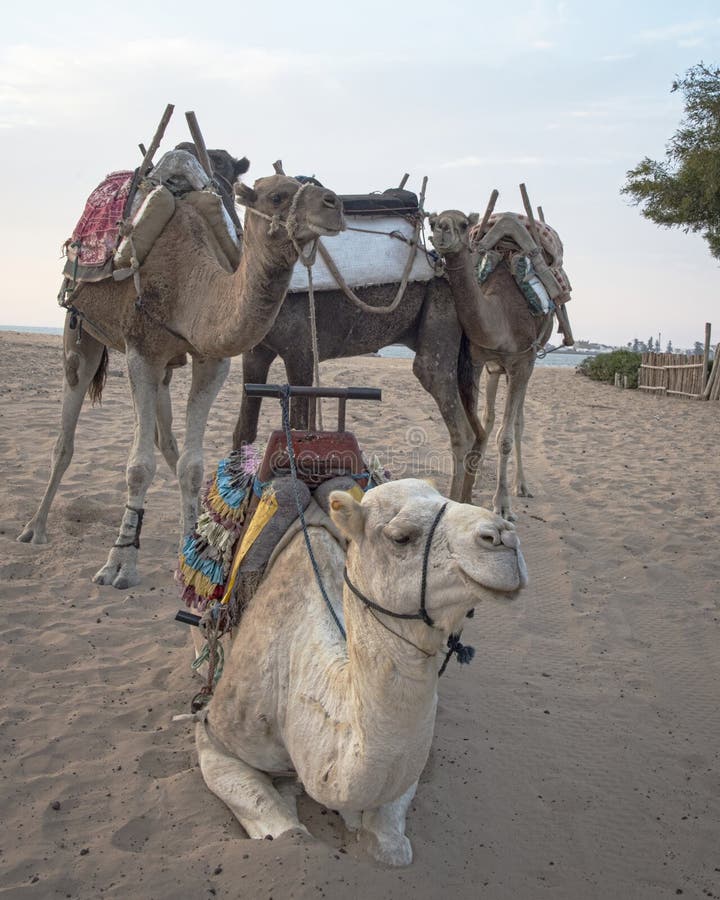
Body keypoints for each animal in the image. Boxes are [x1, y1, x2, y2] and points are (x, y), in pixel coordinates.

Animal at [18, 170, 344, 589]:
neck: (189, 285)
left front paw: (192, 550)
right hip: (80, 329)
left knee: (166, 441)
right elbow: (138, 466)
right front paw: (119, 563)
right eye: (277, 196)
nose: (335, 204)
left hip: (164, 367)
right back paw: (35, 528)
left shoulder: (211, 360)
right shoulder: (142, 351)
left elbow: (191, 465)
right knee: (65, 436)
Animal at [234, 278, 484, 502]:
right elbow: (244, 430)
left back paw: (456, 503)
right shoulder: (257, 351)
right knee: (475, 426)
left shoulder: (300, 351)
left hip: (441, 310)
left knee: (460, 426)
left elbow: (297, 429)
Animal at [428, 210, 554, 520]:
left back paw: (521, 485)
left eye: (464, 224)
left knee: (518, 421)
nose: (442, 232)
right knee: (490, 417)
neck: (502, 315)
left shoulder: (522, 362)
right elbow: (478, 424)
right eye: (434, 222)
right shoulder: (476, 359)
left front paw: (502, 504)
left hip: (524, 365)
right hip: (495, 369)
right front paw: (469, 491)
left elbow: (506, 437)